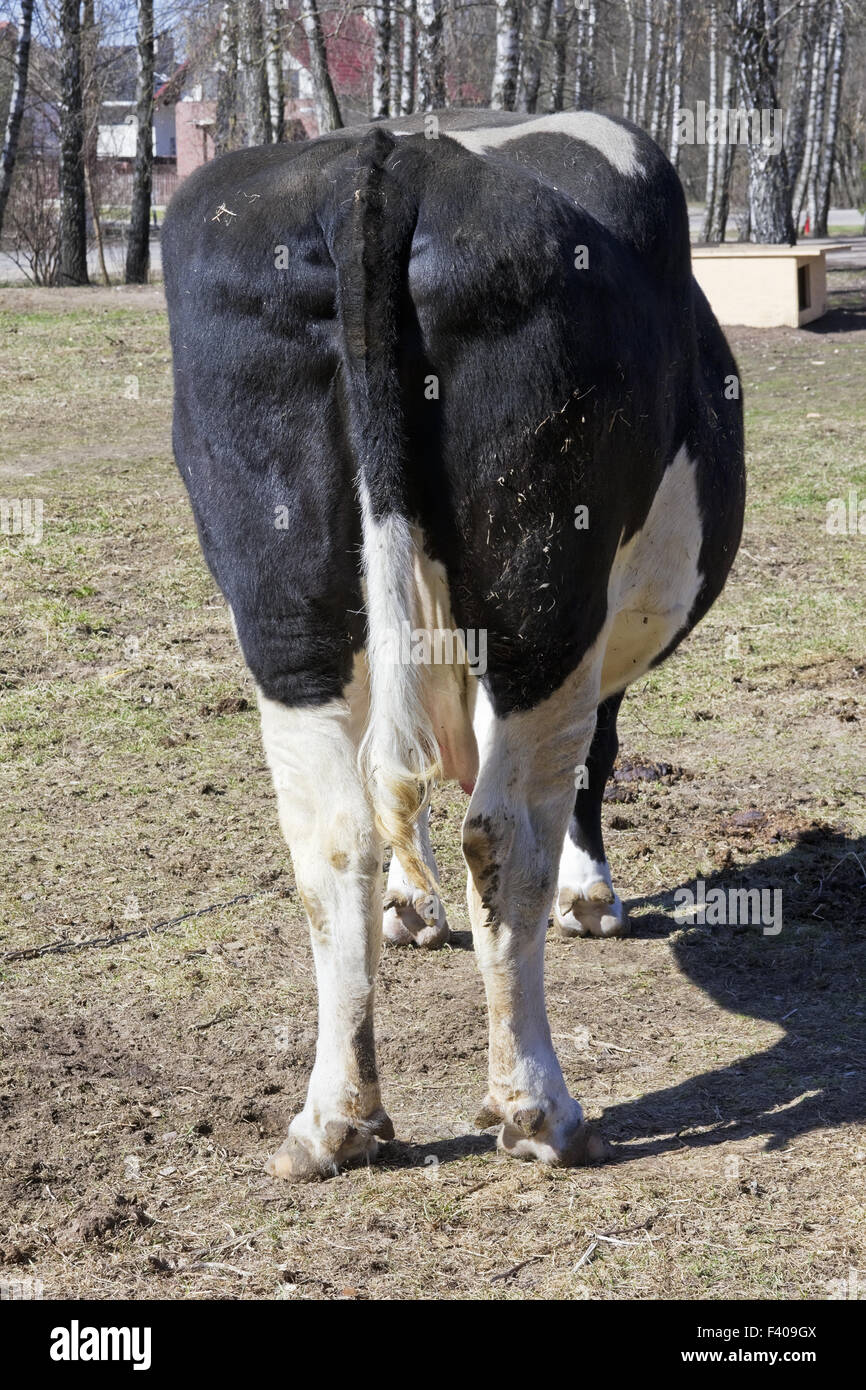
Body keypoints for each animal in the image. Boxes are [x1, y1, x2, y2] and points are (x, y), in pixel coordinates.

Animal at [162, 109, 745, 1180]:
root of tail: (386, 159)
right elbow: (592, 763)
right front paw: (591, 896)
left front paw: (412, 905)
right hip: (545, 601)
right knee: (505, 831)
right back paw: (539, 1109)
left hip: (286, 611)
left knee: (335, 834)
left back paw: (336, 1119)